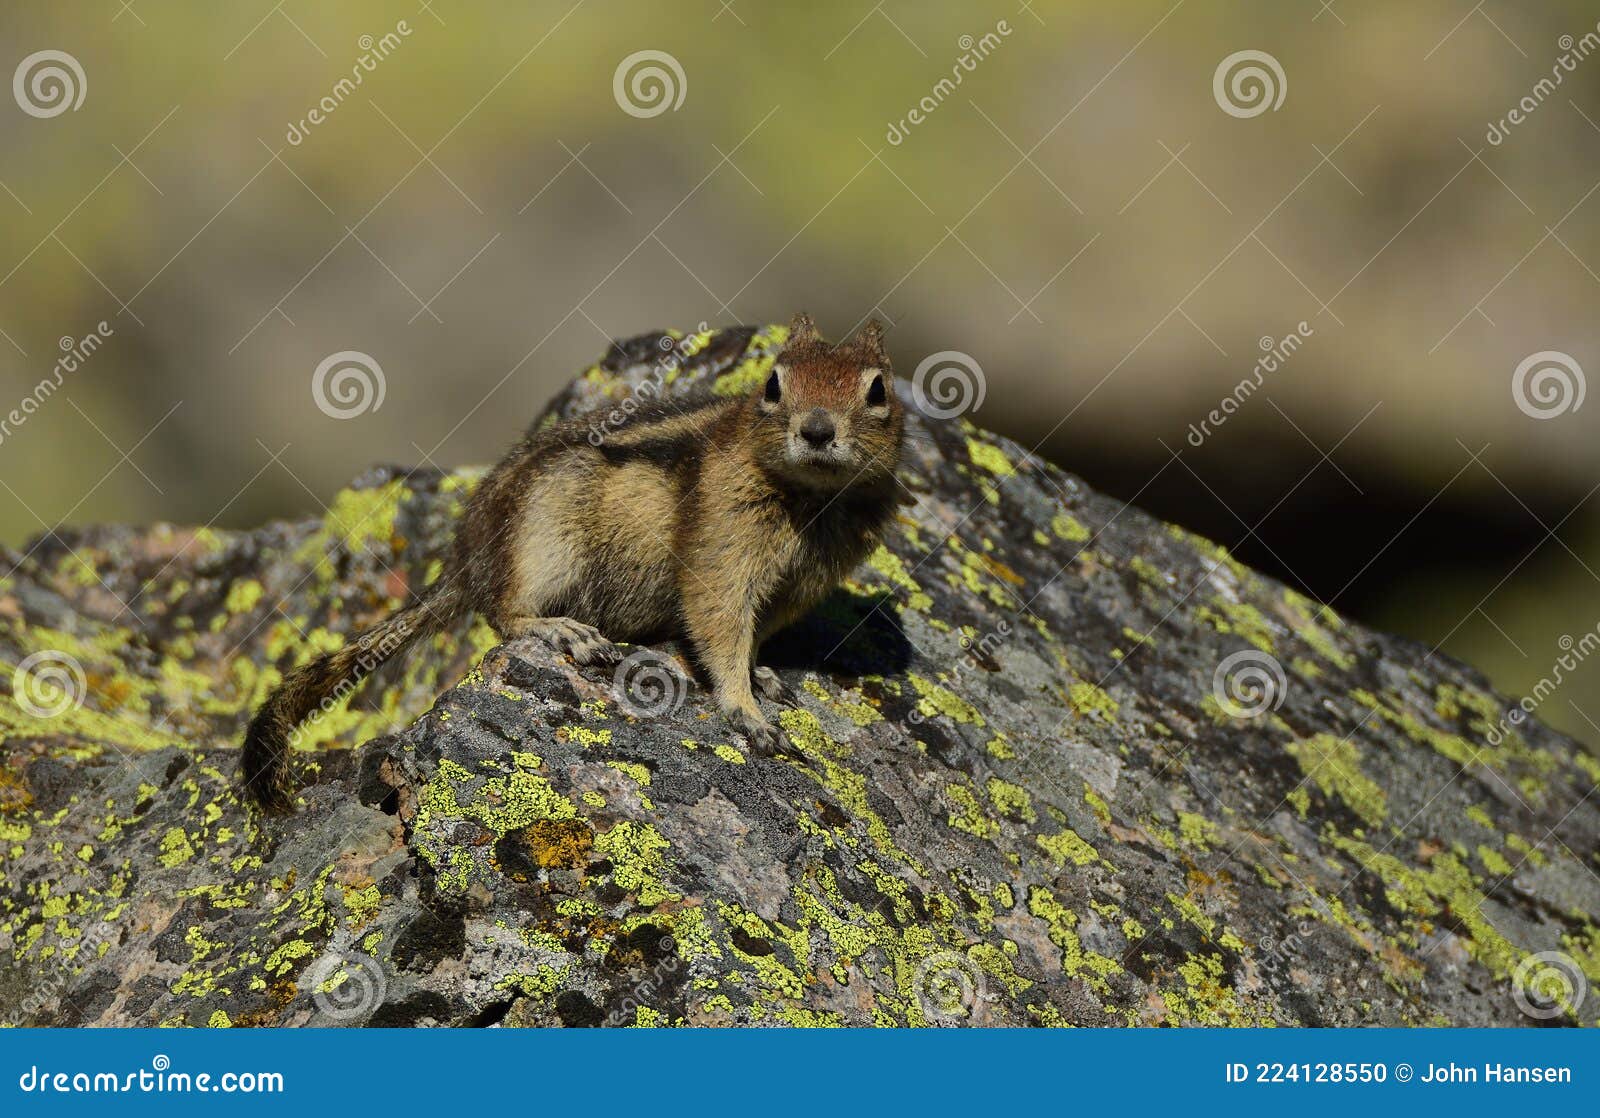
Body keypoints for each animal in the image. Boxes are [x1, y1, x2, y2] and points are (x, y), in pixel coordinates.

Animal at [240, 313, 905, 810]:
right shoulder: (722, 550)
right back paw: (566, 631)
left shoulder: (802, 584)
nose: (816, 430)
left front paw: (764, 674)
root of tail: (464, 560)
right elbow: (719, 624)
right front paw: (748, 712)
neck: (812, 497)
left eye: (878, 390)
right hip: (542, 546)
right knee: (504, 616)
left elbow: (756, 631)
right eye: (772, 384)